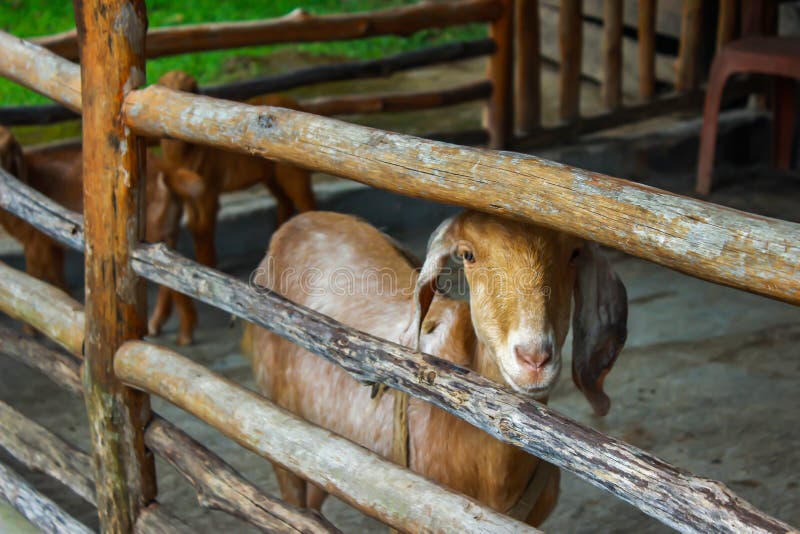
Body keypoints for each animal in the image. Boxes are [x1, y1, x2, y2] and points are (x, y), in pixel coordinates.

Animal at [147, 70, 317, 345]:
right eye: (166, 87)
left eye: (191, 88)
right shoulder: (189, 193)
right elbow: (194, 228)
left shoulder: (207, 190)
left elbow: (203, 228)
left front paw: (207, 269)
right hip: (271, 175)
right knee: (284, 202)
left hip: (292, 172)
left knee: (305, 202)